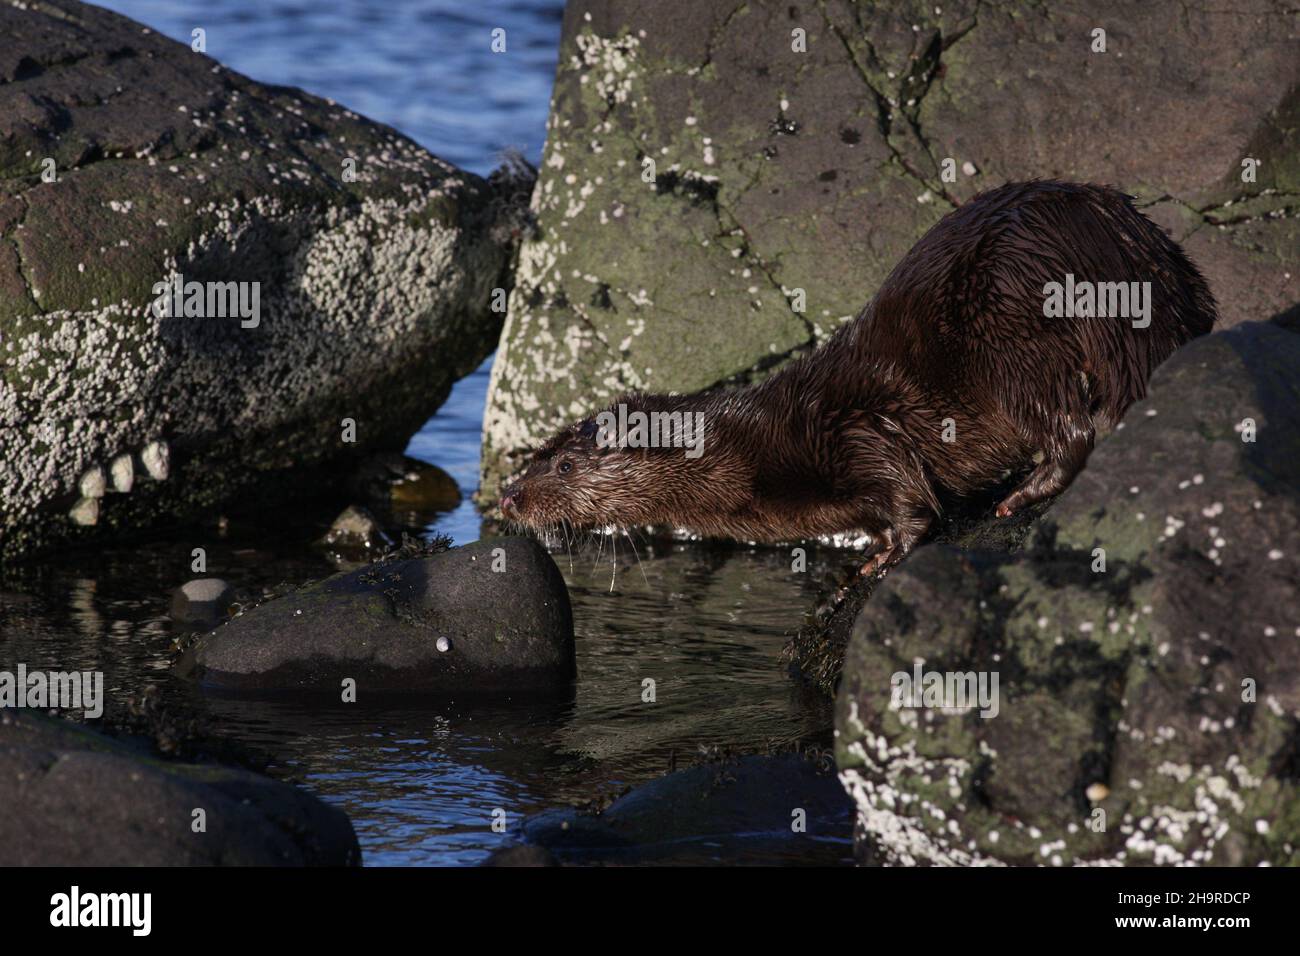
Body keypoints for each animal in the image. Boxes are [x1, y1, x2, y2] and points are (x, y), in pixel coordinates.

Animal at [500, 181, 1218, 574]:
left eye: (564, 466)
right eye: (532, 455)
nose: (508, 496)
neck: (748, 452)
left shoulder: (850, 428)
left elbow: (903, 491)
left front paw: (888, 555)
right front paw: (872, 549)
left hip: (1008, 330)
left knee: (1072, 427)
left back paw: (1022, 493)